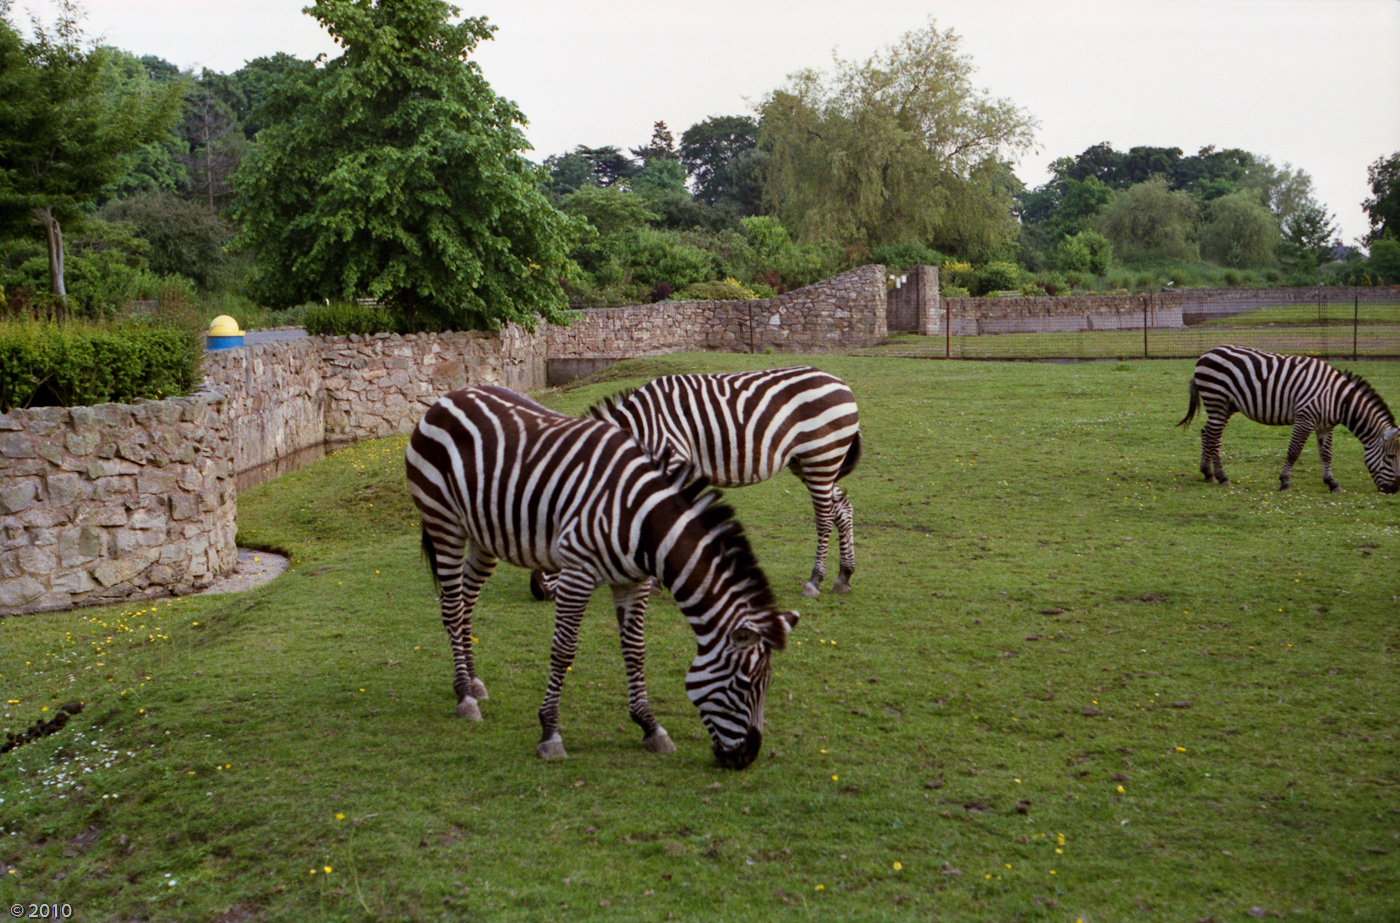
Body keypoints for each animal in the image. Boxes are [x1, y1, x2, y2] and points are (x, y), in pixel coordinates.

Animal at [405, 385, 800, 769]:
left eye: (767, 686)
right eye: (744, 685)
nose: (746, 758)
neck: (643, 523)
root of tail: (447, 397)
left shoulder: (633, 581)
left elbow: (635, 649)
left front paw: (650, 726)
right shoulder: (577, 572)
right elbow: (563, 649)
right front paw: (550, 733)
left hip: (484, 536)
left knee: (467, 604)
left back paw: (474, 683)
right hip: (444, 523)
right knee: (452, 608)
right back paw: (464, 696)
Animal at [532, 366, 861, 601]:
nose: (538, 592)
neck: (642, 428)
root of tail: (842, 384)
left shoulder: (674, 460)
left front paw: (657, 581)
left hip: (821, 457)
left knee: (824, 518)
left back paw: (814, 581)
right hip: (809, 463)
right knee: (842, 508)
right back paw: (844, 577)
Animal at [1178, 345, 1400, 493]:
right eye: (1390, 457)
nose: (1395, 489)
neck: (1336, 398)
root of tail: (1207, 353)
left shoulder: (1325, 426)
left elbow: (1326, 454)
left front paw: (1332, 483)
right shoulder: (1305, 418)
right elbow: (1294, 451)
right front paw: (1285, 481)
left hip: (1226, 406)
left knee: (1206, 432)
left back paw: (1207, 473)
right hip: (1217, 400)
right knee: (1214, 437)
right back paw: (1222, 477)